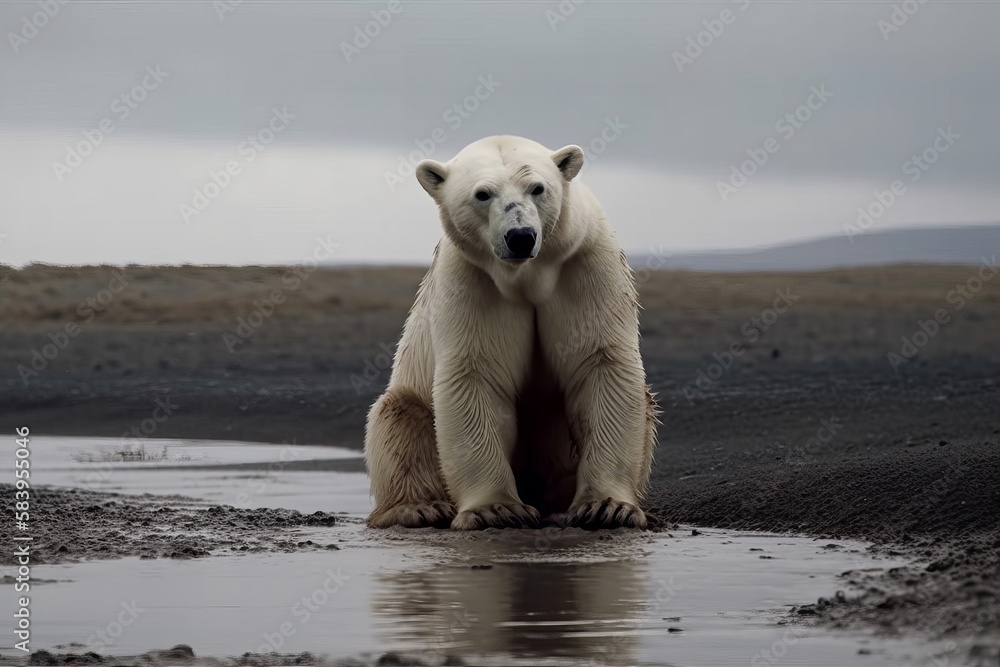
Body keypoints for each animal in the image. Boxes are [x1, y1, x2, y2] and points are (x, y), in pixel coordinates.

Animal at [364, 135, 659, 530]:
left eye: (538, 187)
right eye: (482, 194)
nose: (520, 237)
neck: (526, 275)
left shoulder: (584, 263)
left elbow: (601, 364)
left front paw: (607, 507)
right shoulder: (473, 280)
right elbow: (476, 375)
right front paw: (497, 509)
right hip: (409, 400)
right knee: (399, 417)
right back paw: (418, 507)